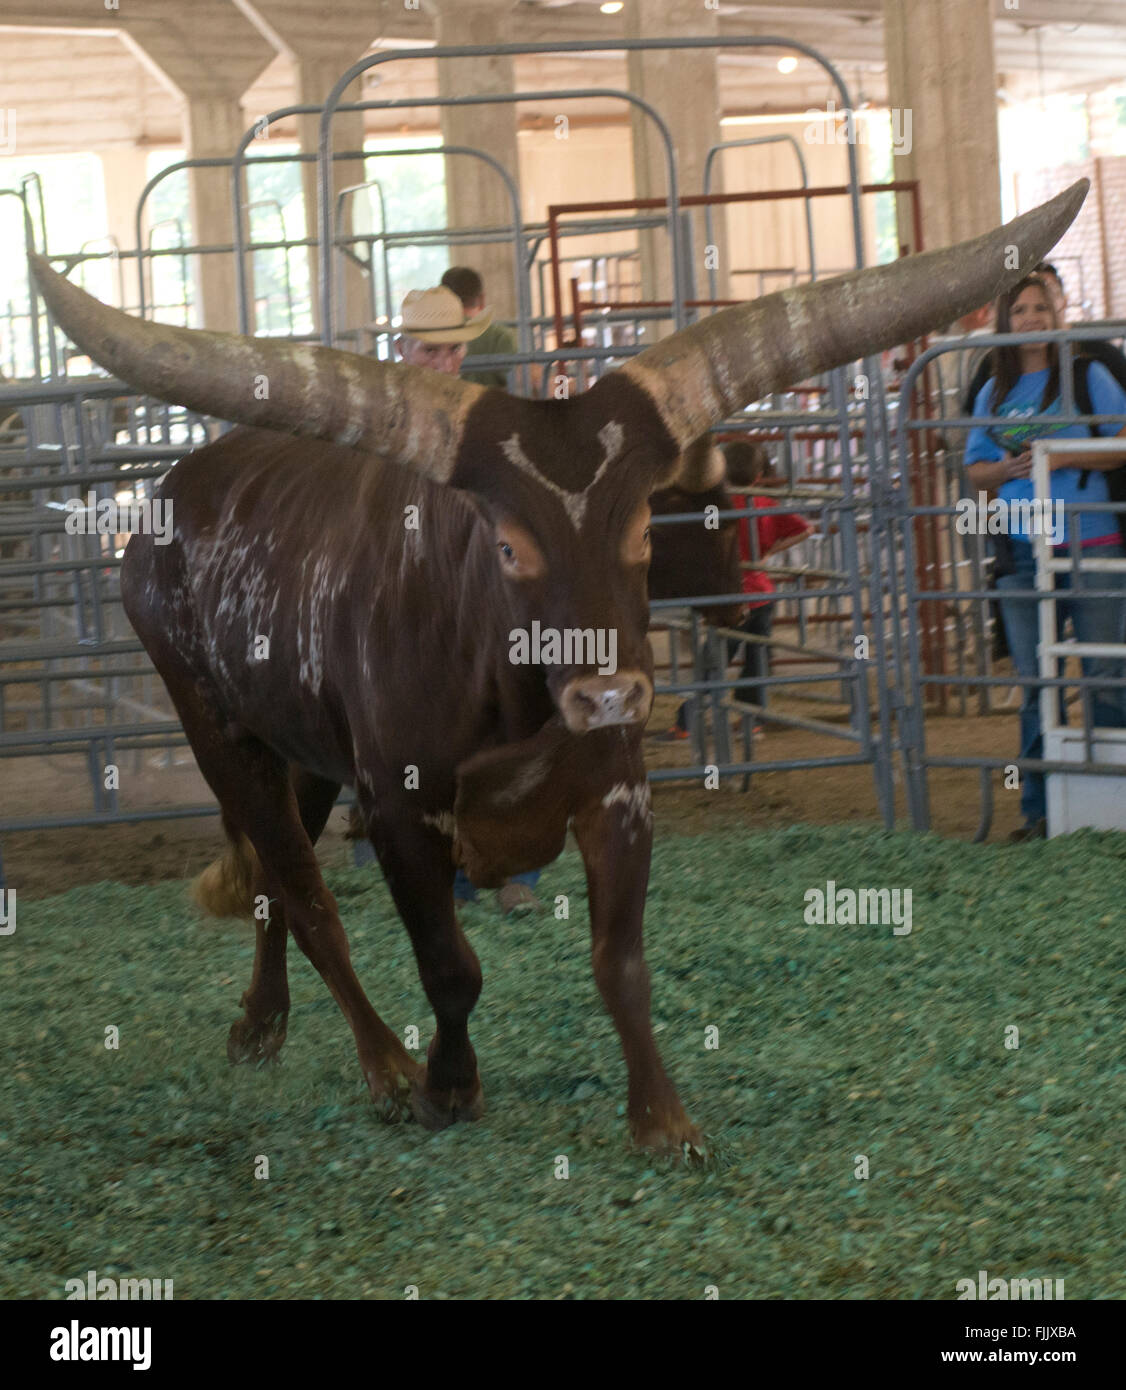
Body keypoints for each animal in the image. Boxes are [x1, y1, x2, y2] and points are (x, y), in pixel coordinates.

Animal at [29, 180, 1085, 1155]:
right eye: (506, 546)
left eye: (642, 532)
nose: (609, 689)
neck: (510, 692)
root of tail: (172, 499)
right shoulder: (401, 807)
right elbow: (450, 966)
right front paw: (449, 1086)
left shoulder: (617, 788)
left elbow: (621, 961)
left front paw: (663, 1119)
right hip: (219, 730)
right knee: (302, 891)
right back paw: (383, 1066)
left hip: (304, 752)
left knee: (270, 893)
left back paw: (262, 1021)